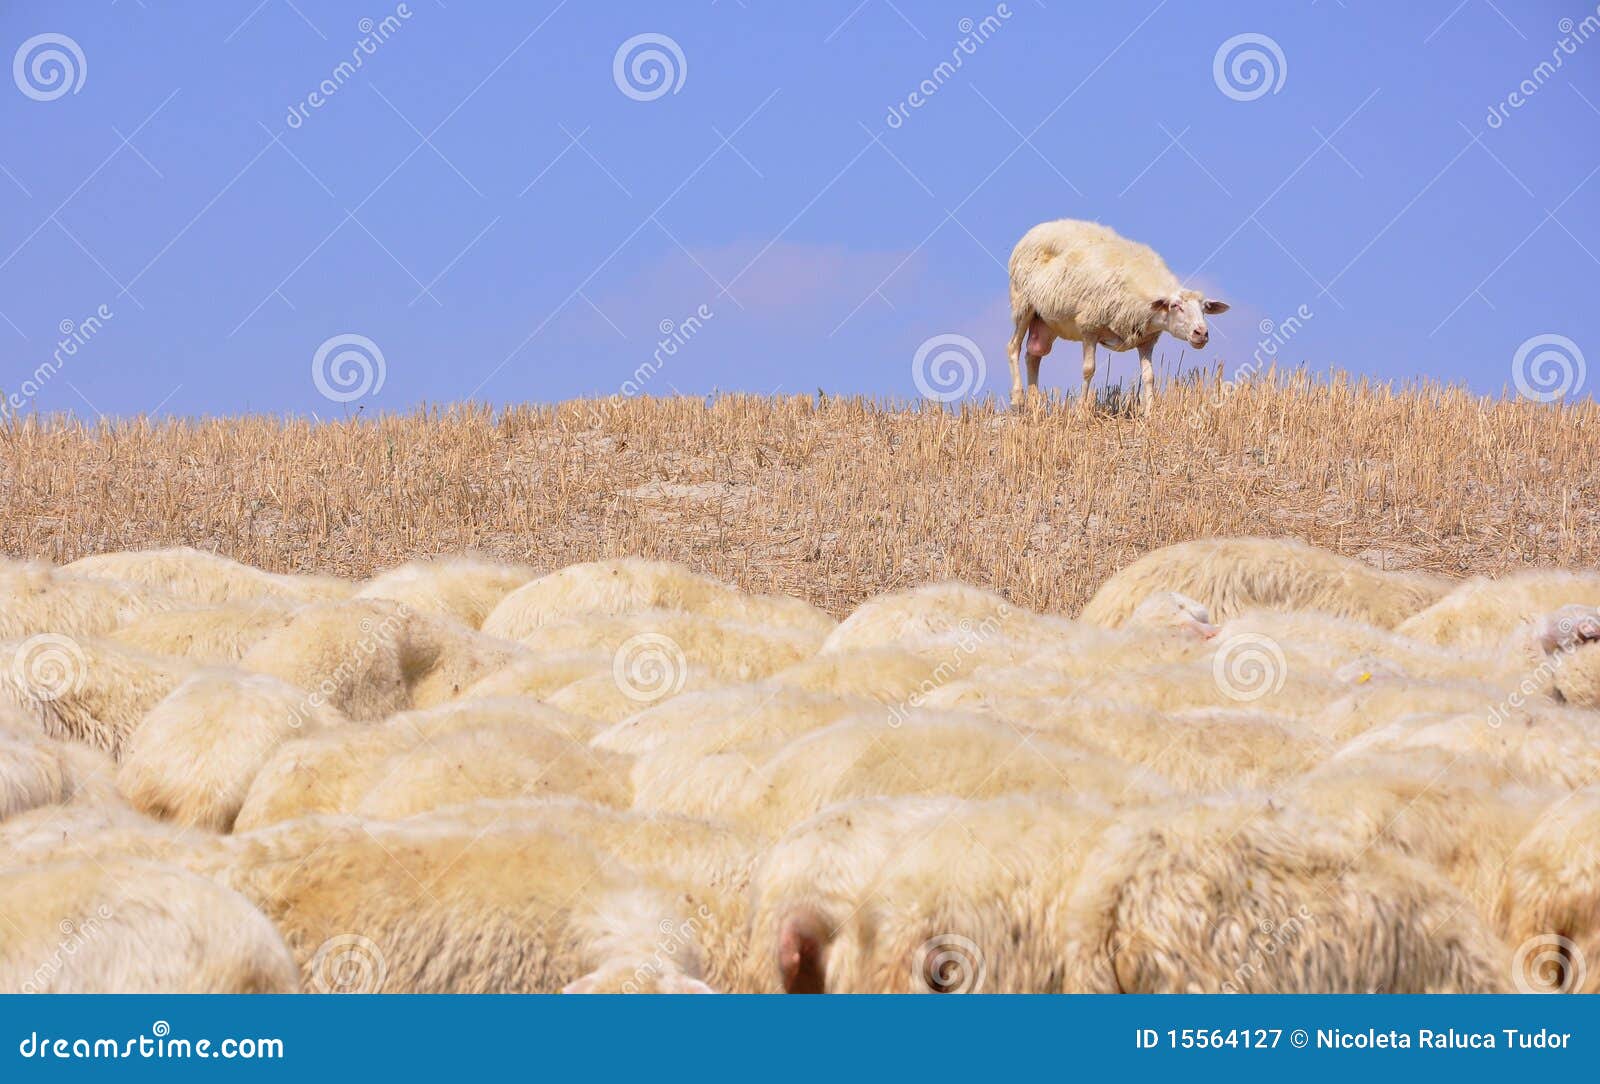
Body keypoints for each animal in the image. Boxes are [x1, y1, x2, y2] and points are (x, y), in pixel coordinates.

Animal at [1005, 218, 1229, 411]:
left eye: (1204, 308)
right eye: (1175, 306)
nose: (1201, 333)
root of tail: (1037, 229)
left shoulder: (1146, 341)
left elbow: (1149, 376)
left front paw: (1150, 412)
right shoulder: (1089, 327)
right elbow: (1088, 369)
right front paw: (1081, 410)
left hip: (1047, 321)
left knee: (1034, 354)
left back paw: (1035, 402)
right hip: (1022, 303)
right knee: (1013, 347)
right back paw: (1018, 398)